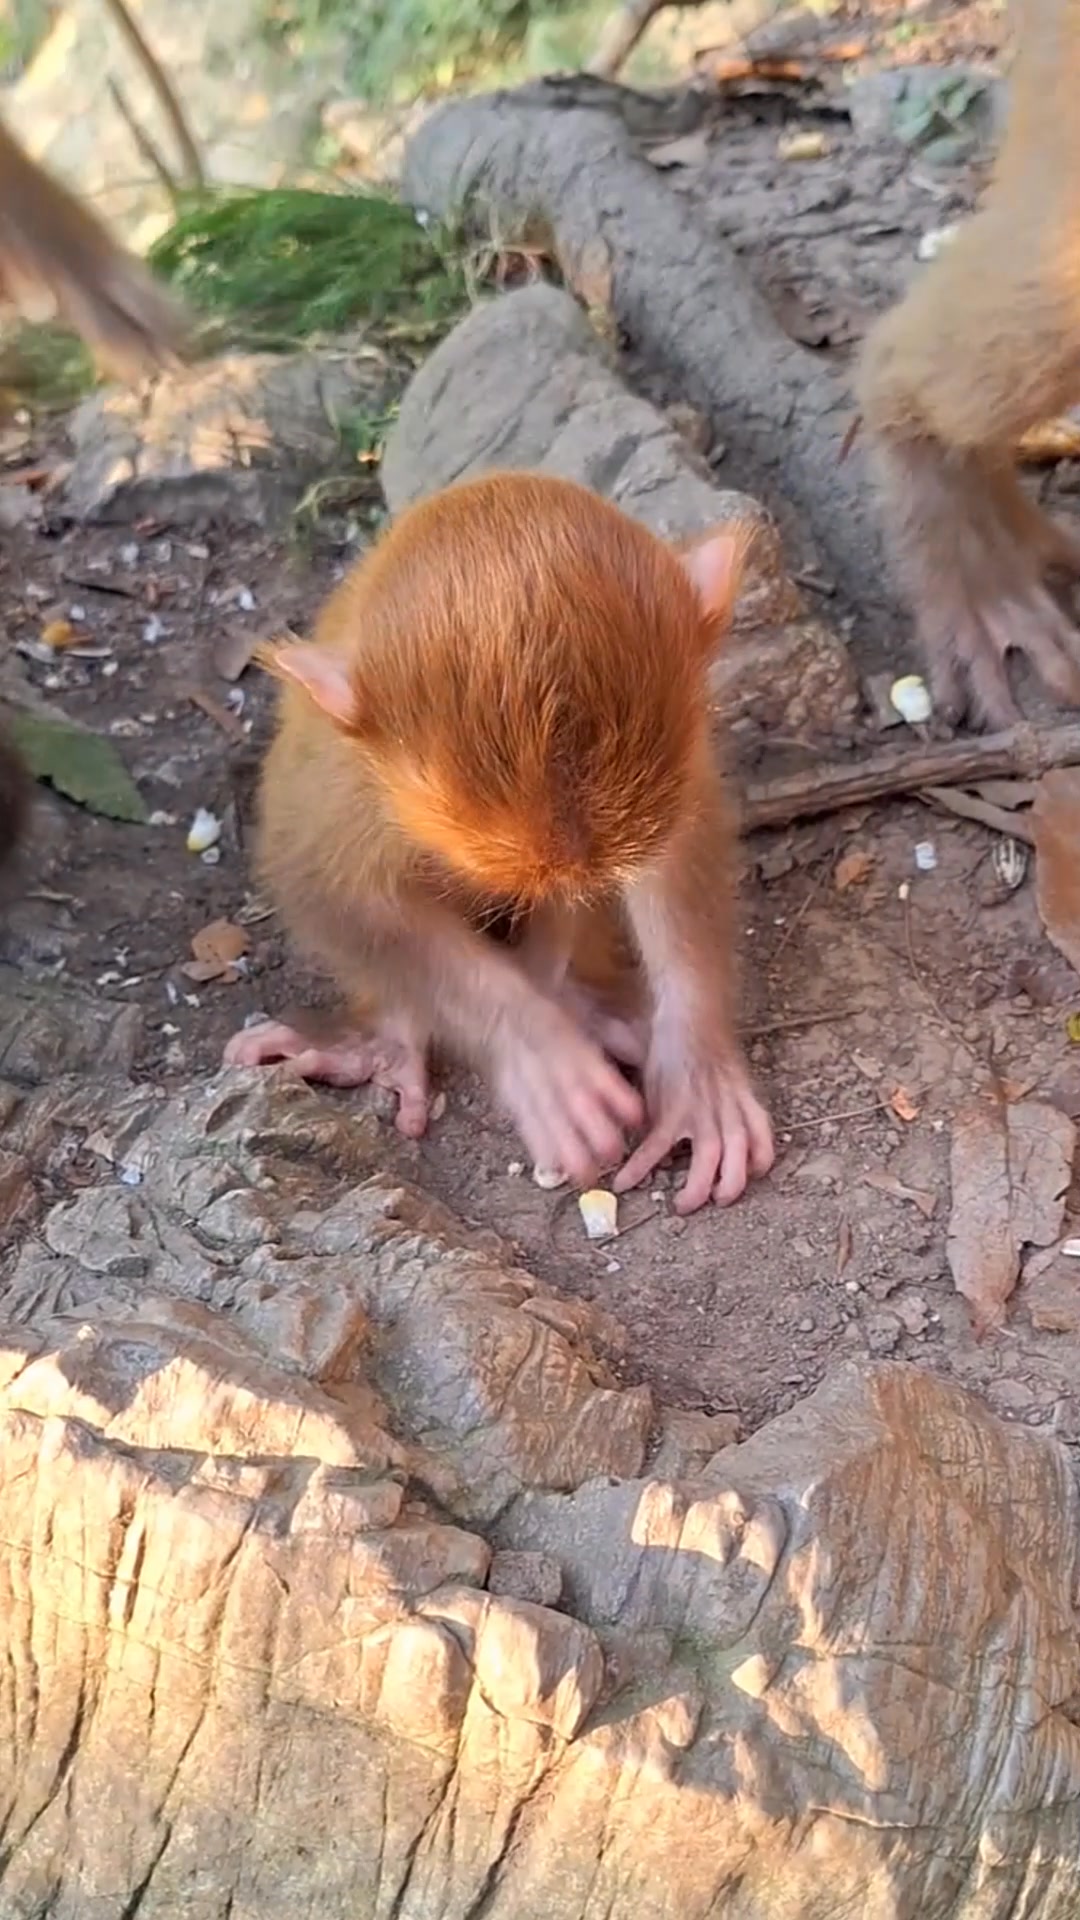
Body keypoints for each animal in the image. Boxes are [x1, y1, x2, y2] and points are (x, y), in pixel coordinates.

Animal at [224, 471, 774, 1214]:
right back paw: (393, 1037)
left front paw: (697, 1065)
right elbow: (328, 888)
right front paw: (536, 1049)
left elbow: (676, 845)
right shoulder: (344, 786)